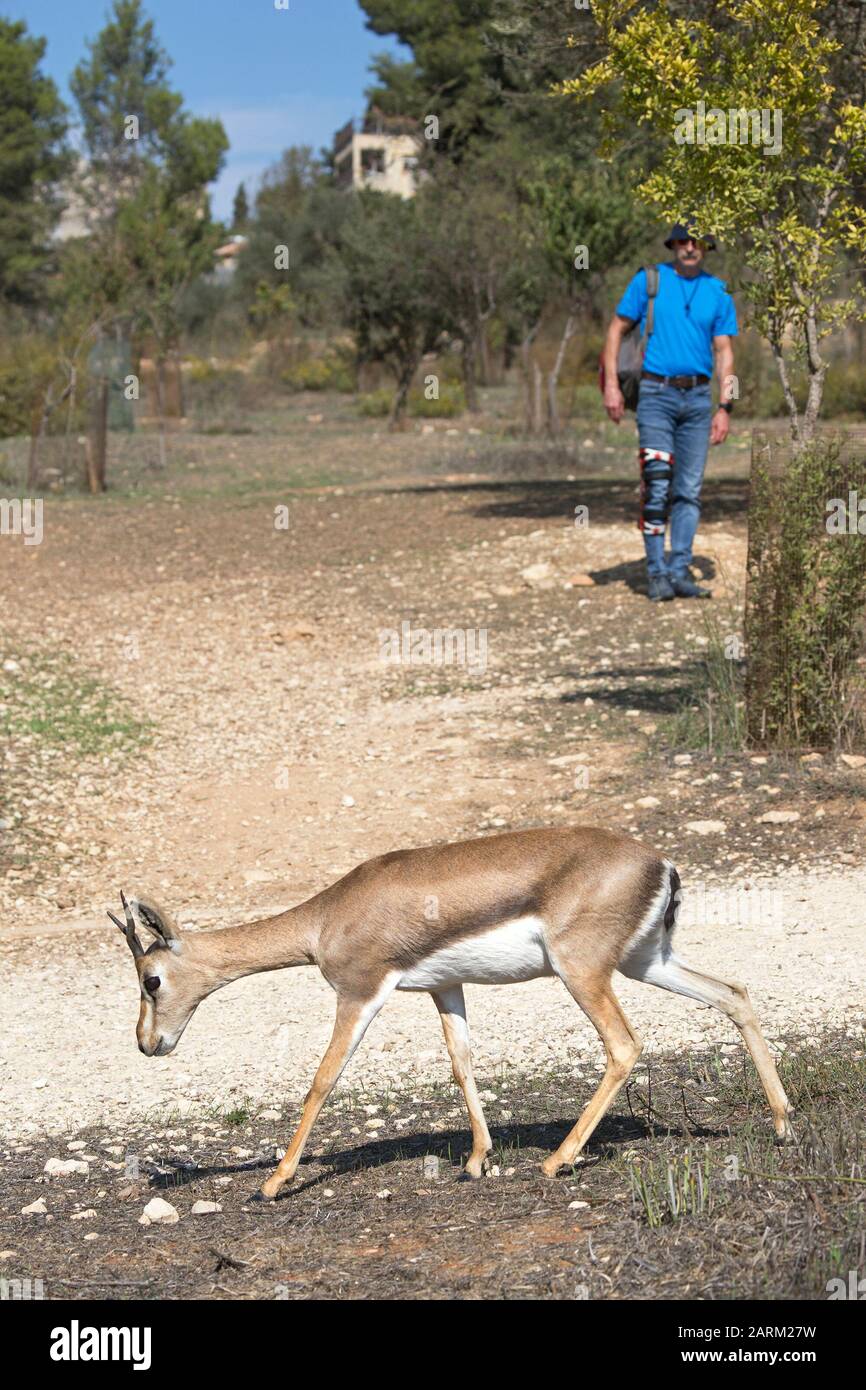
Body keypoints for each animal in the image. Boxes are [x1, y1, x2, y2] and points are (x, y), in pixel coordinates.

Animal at [109, 826, 794, 1201]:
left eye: (151, 978)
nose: (148, 1043)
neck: (326, 918)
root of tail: (662, 864)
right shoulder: (446, 988)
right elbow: (462, 1063)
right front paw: (474, 1162)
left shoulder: (360, 993)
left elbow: (322, 1081)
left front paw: (272, 1183)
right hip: (646, 961)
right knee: (735, 994)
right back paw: (783, 1125)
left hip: (583, 972)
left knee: (624, 1045)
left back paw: (557, 1161)